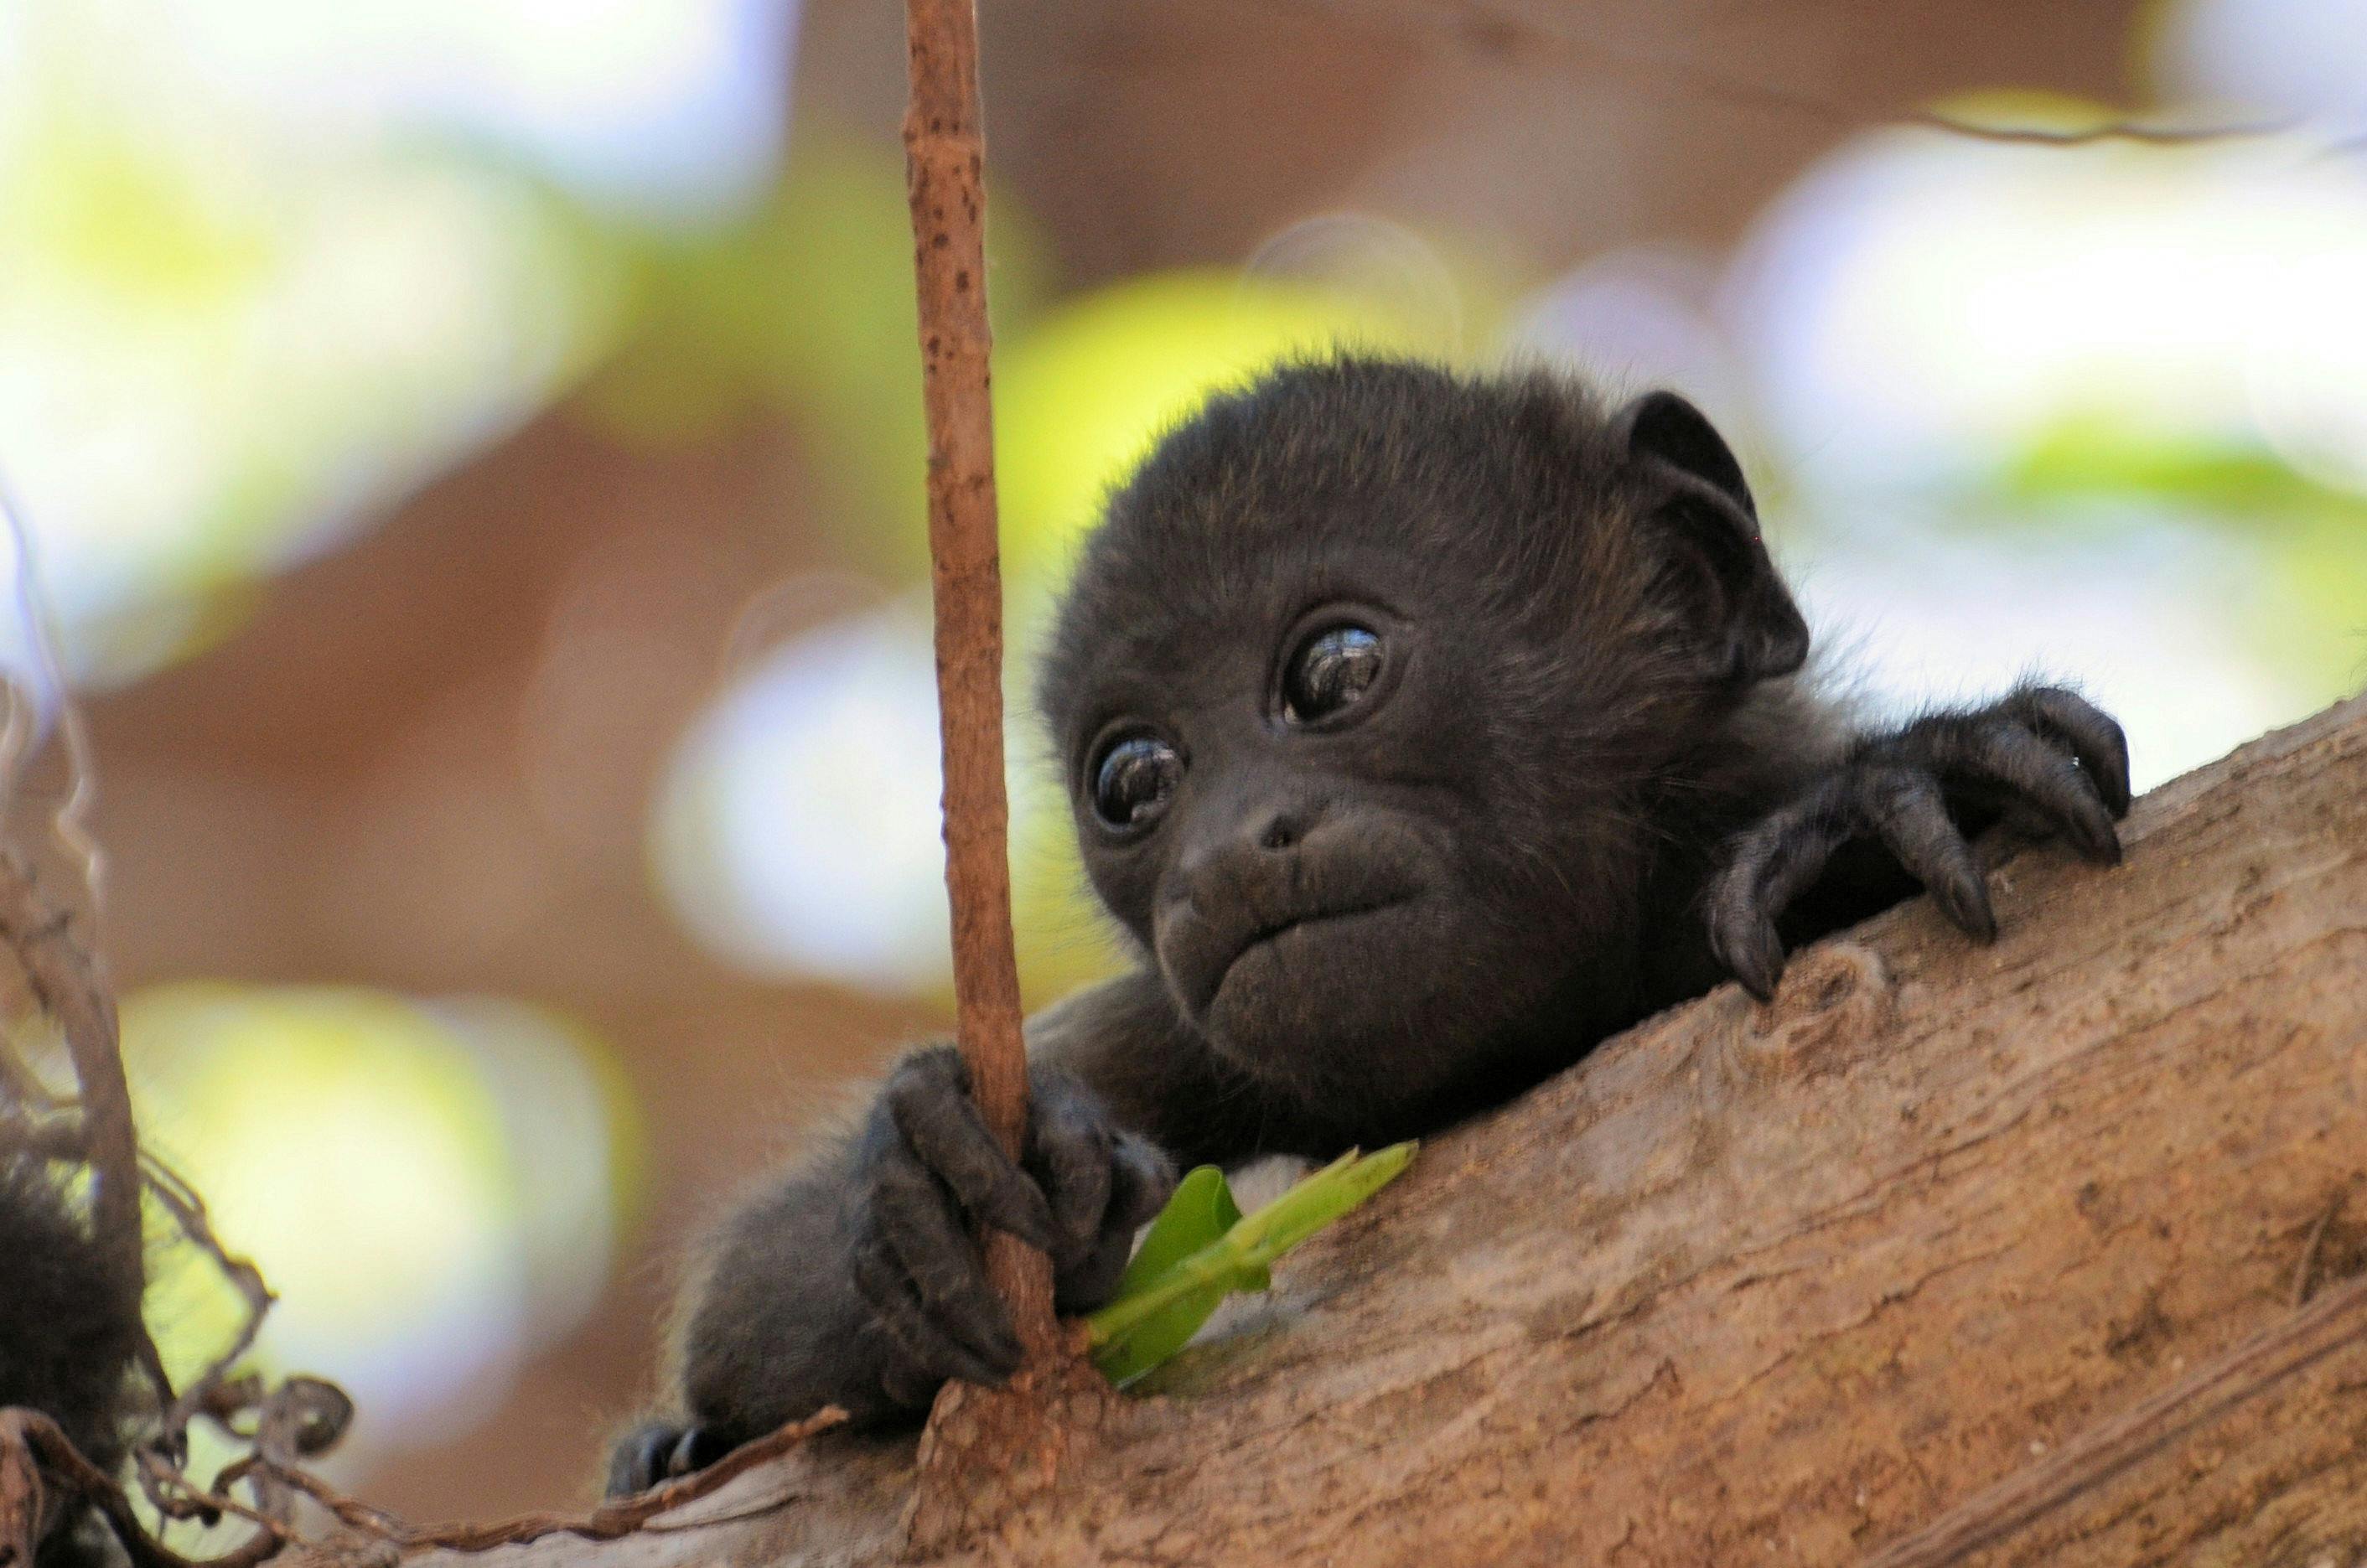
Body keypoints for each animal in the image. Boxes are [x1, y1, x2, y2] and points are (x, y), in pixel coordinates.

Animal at [608, 355, 2130, 1492]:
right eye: (1133, 777)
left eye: (1333, 669)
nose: (1224, 854)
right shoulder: (1172, 1028)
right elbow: (745, 1294)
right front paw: (936, 1175)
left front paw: (1884, 799)